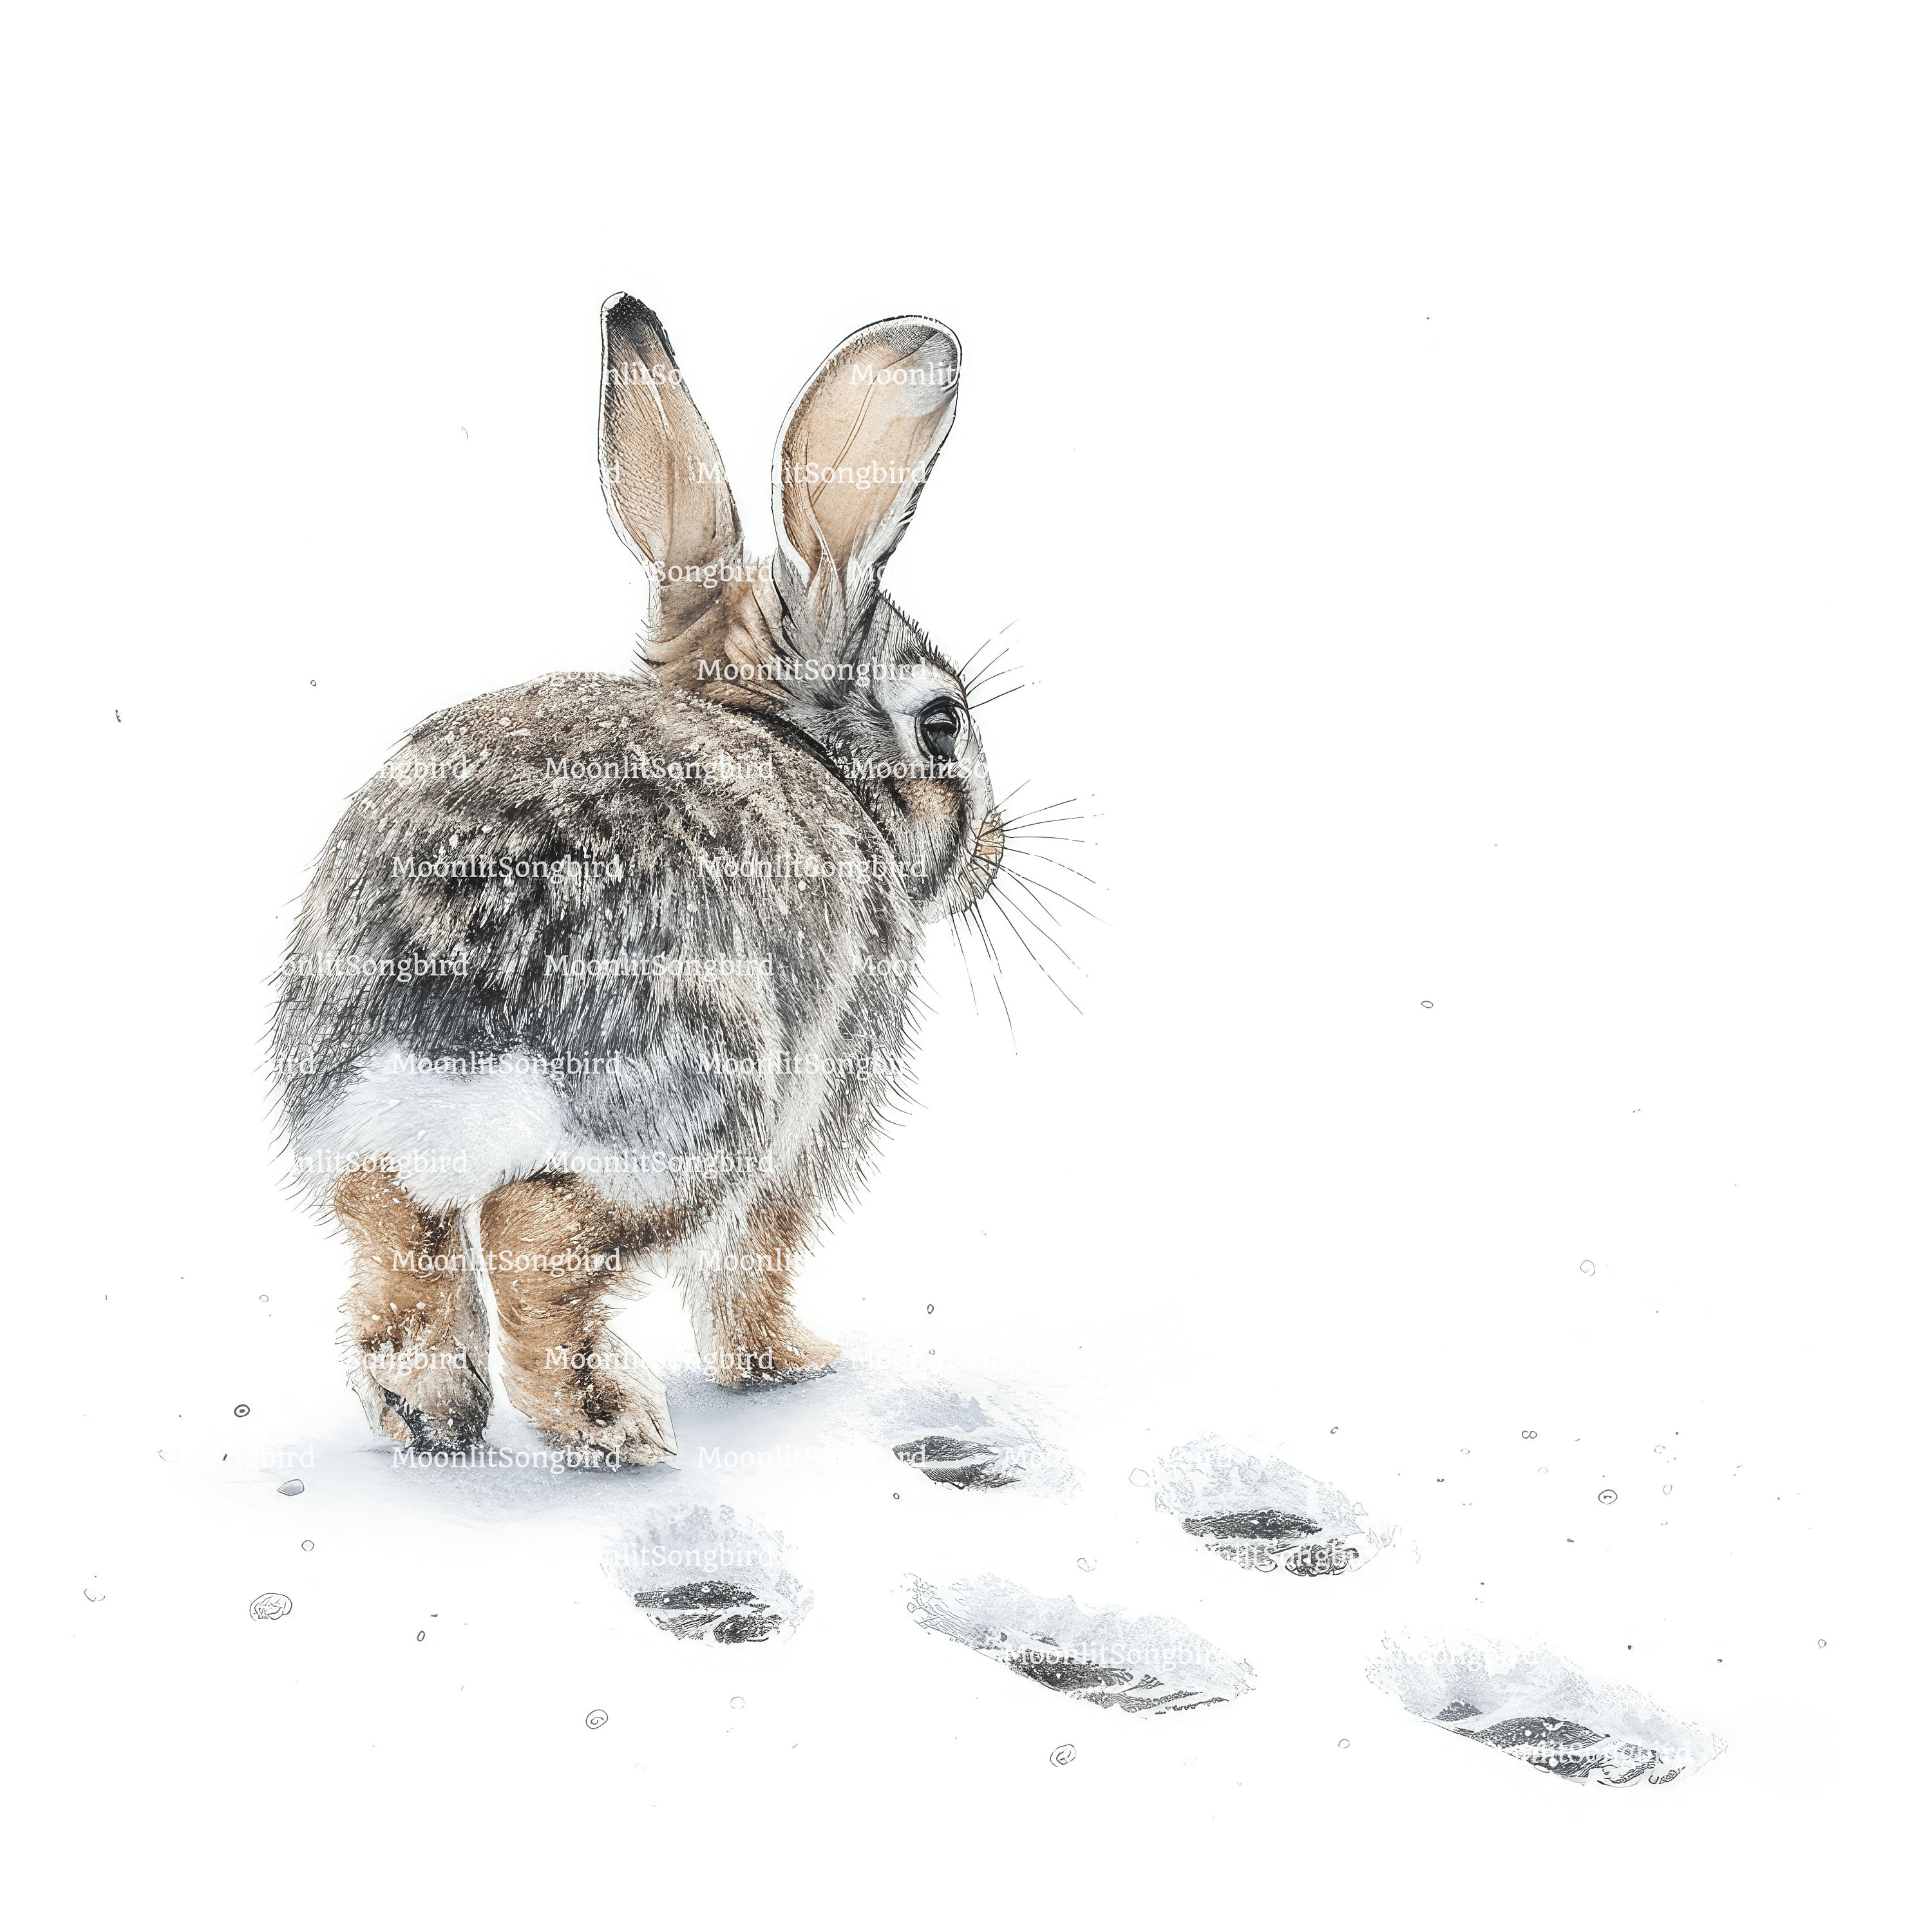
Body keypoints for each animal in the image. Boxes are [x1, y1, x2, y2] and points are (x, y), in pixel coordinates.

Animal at [271, 294, 1005, 1467]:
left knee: (400, 1245)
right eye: (941, 723)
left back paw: (428, 1416)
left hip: (356, 1136)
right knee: (534, 1237)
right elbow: (758, 1256)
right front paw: (794, 1365)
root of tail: (449, 1039)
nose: (992, 850)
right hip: (698, 1115)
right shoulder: (819, 1113)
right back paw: (616, 1424)